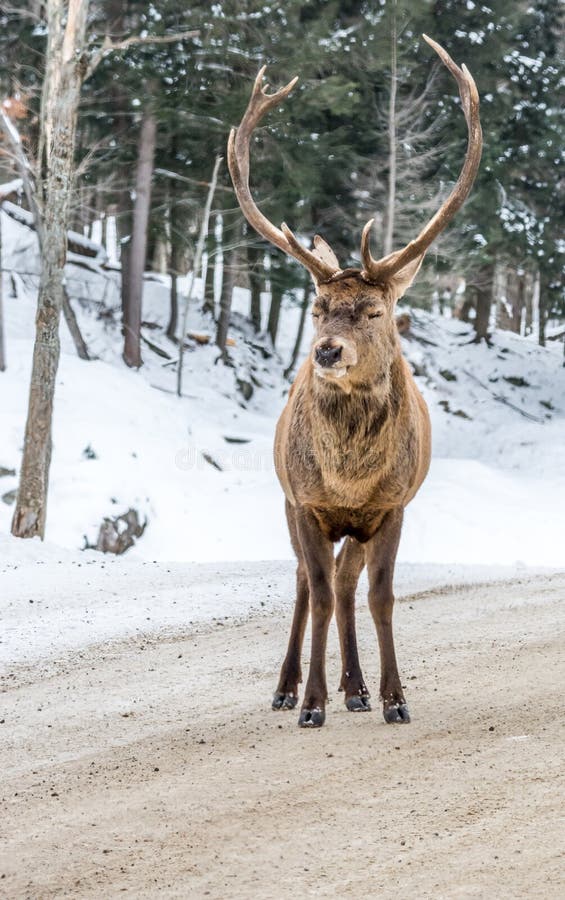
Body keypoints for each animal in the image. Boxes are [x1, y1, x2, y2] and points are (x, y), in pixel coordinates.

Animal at [228, 36, 482, 728]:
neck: (349, 478)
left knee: (346, 582)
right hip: (290, 501)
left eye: (373, 311)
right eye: (318, 306)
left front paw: (395, 697)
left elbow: (381, 595)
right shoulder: (307, 503)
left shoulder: (391, 505)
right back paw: (292, 687)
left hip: (357, 524)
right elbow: (315, 592)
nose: (326, 350)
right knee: (306, 583)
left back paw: (357, 688)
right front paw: (310, 703)